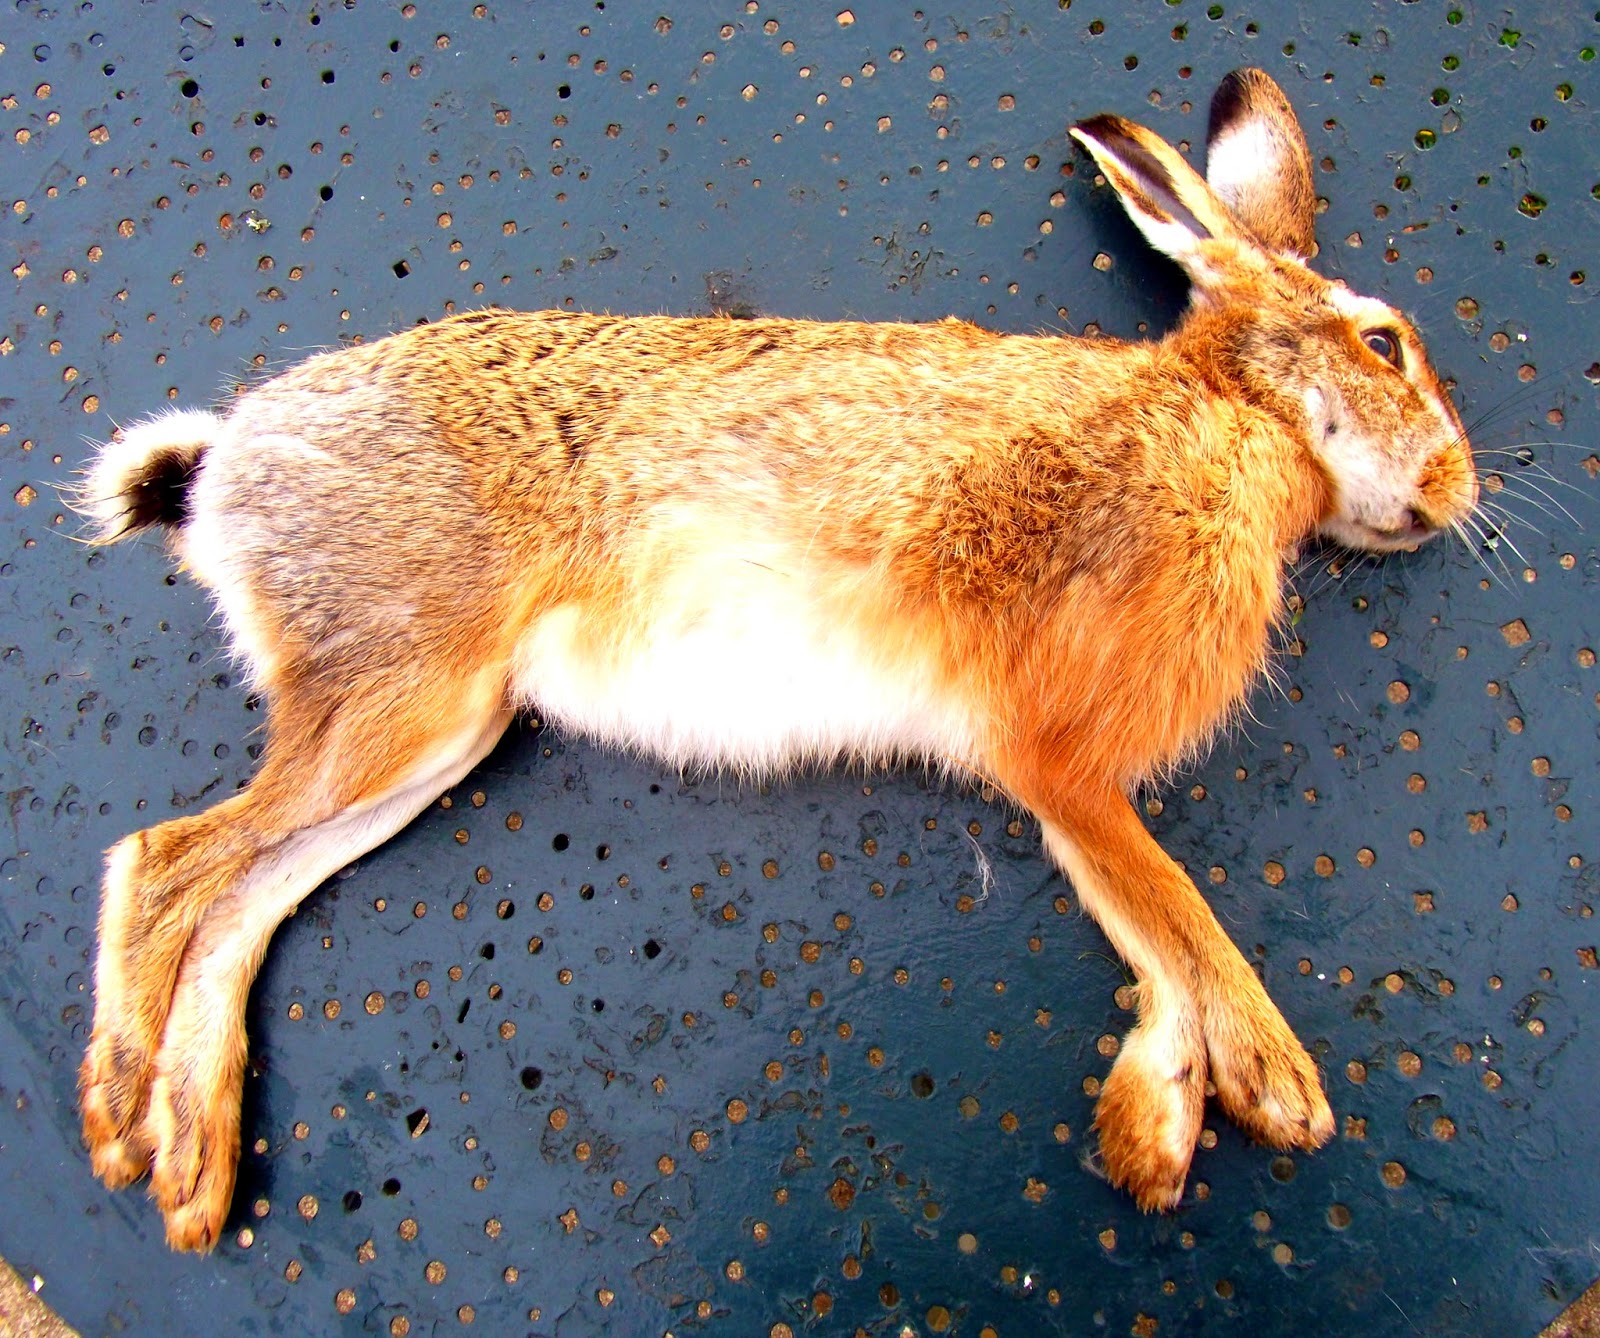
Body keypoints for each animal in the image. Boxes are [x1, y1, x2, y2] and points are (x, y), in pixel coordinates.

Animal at [73, 67, 1478, 1252]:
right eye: (1385, 347)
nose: (1457, 488)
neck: (1234, 421)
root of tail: (224, 467)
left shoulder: (1057, 779)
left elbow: (1141, 924)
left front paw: (1158, 1124)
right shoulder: (1057, 755)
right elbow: (1172, 913)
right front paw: (1270, 1087)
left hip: (437, 734)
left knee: (238, 897)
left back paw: (191, 1163)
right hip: (404, 692)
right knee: (163, 863)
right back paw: (119, 1122)